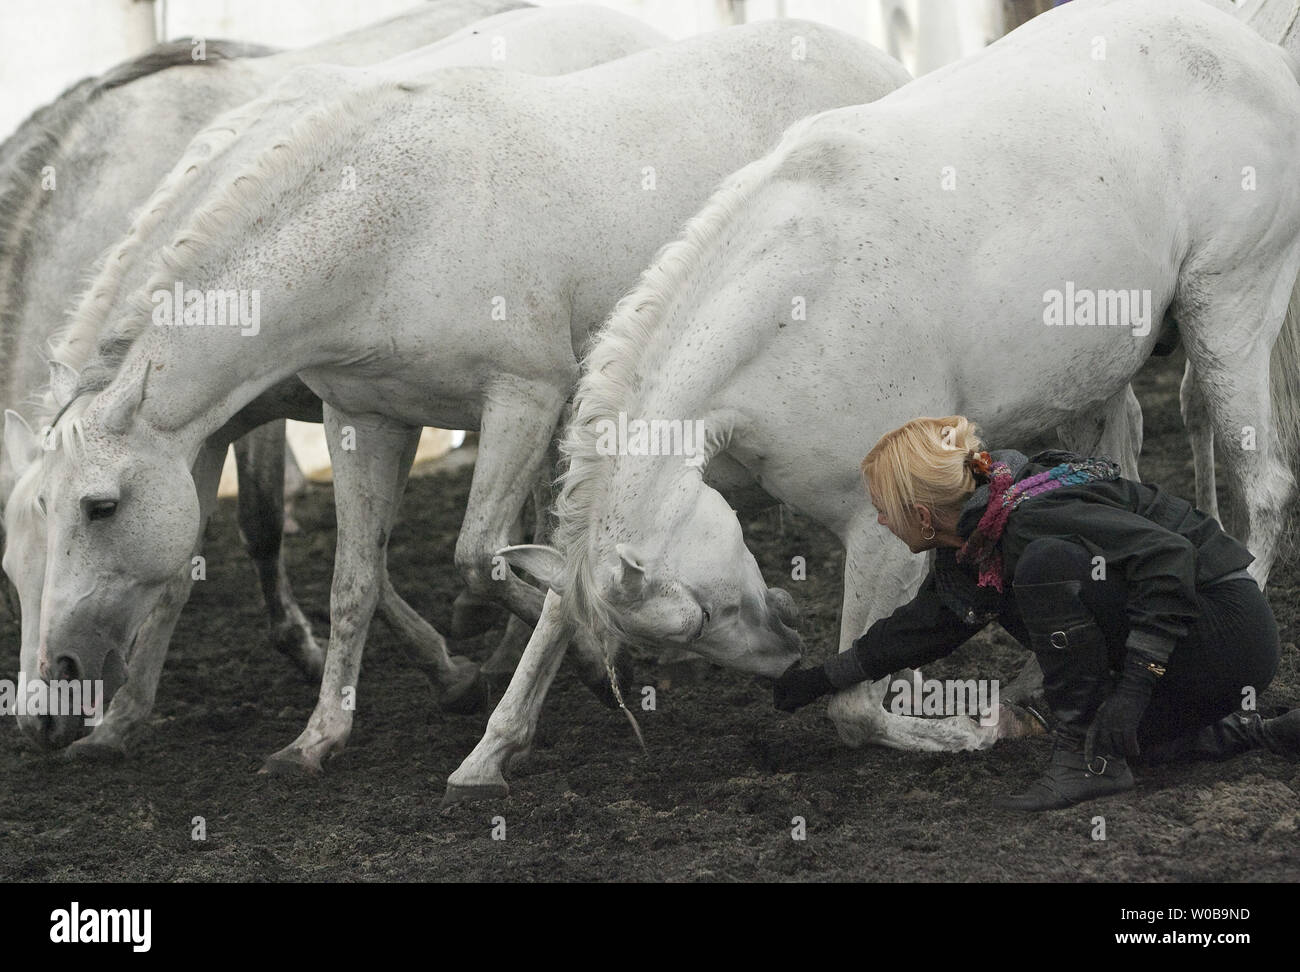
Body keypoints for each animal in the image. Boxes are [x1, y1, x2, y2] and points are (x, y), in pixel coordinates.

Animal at [0, 1, 669, 754]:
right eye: (10, 575)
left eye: (100, 510)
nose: (43, 711)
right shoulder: (213, 432)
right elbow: (199, 570)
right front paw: (122, 719)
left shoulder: (269, 415)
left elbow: (269, 529)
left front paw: (417, 667)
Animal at [444, 0, 1300, 801]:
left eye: (703, 618)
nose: (785, 649)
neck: (794, 305)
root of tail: (1244, 42)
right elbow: (561, 602)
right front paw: (490, 749)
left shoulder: (882, 537)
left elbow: (854, 708)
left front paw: (965, 730)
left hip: (1228, 307)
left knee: (1266, 486)